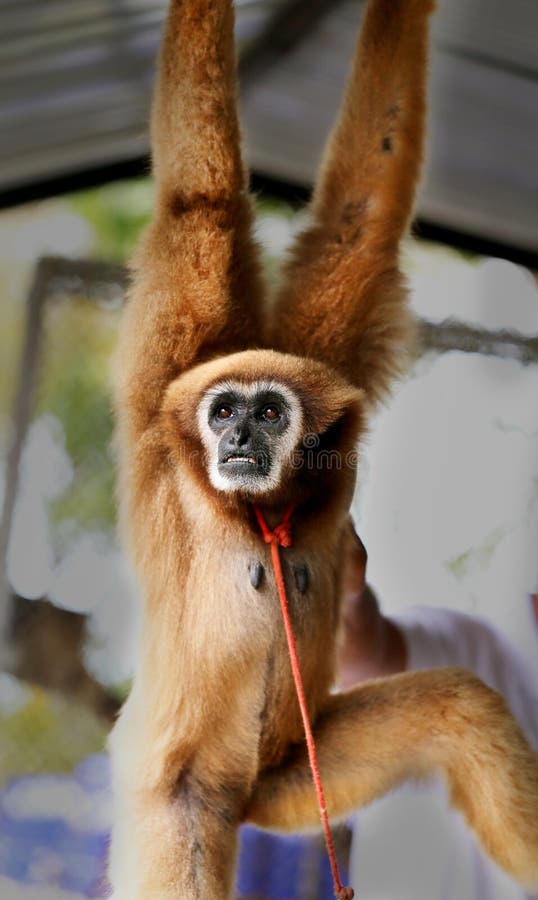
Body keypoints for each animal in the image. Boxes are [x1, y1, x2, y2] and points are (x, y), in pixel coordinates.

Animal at [108, 0, 538, 897]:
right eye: (224, 412)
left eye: (271, 413)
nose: (239, 436)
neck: (259, 513)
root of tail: (242, 795)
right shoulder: (169, 390)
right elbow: (198, 203)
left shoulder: (324, 364)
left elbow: (356, 222)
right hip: (183, 800)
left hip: (292, 780)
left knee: (460, 705)